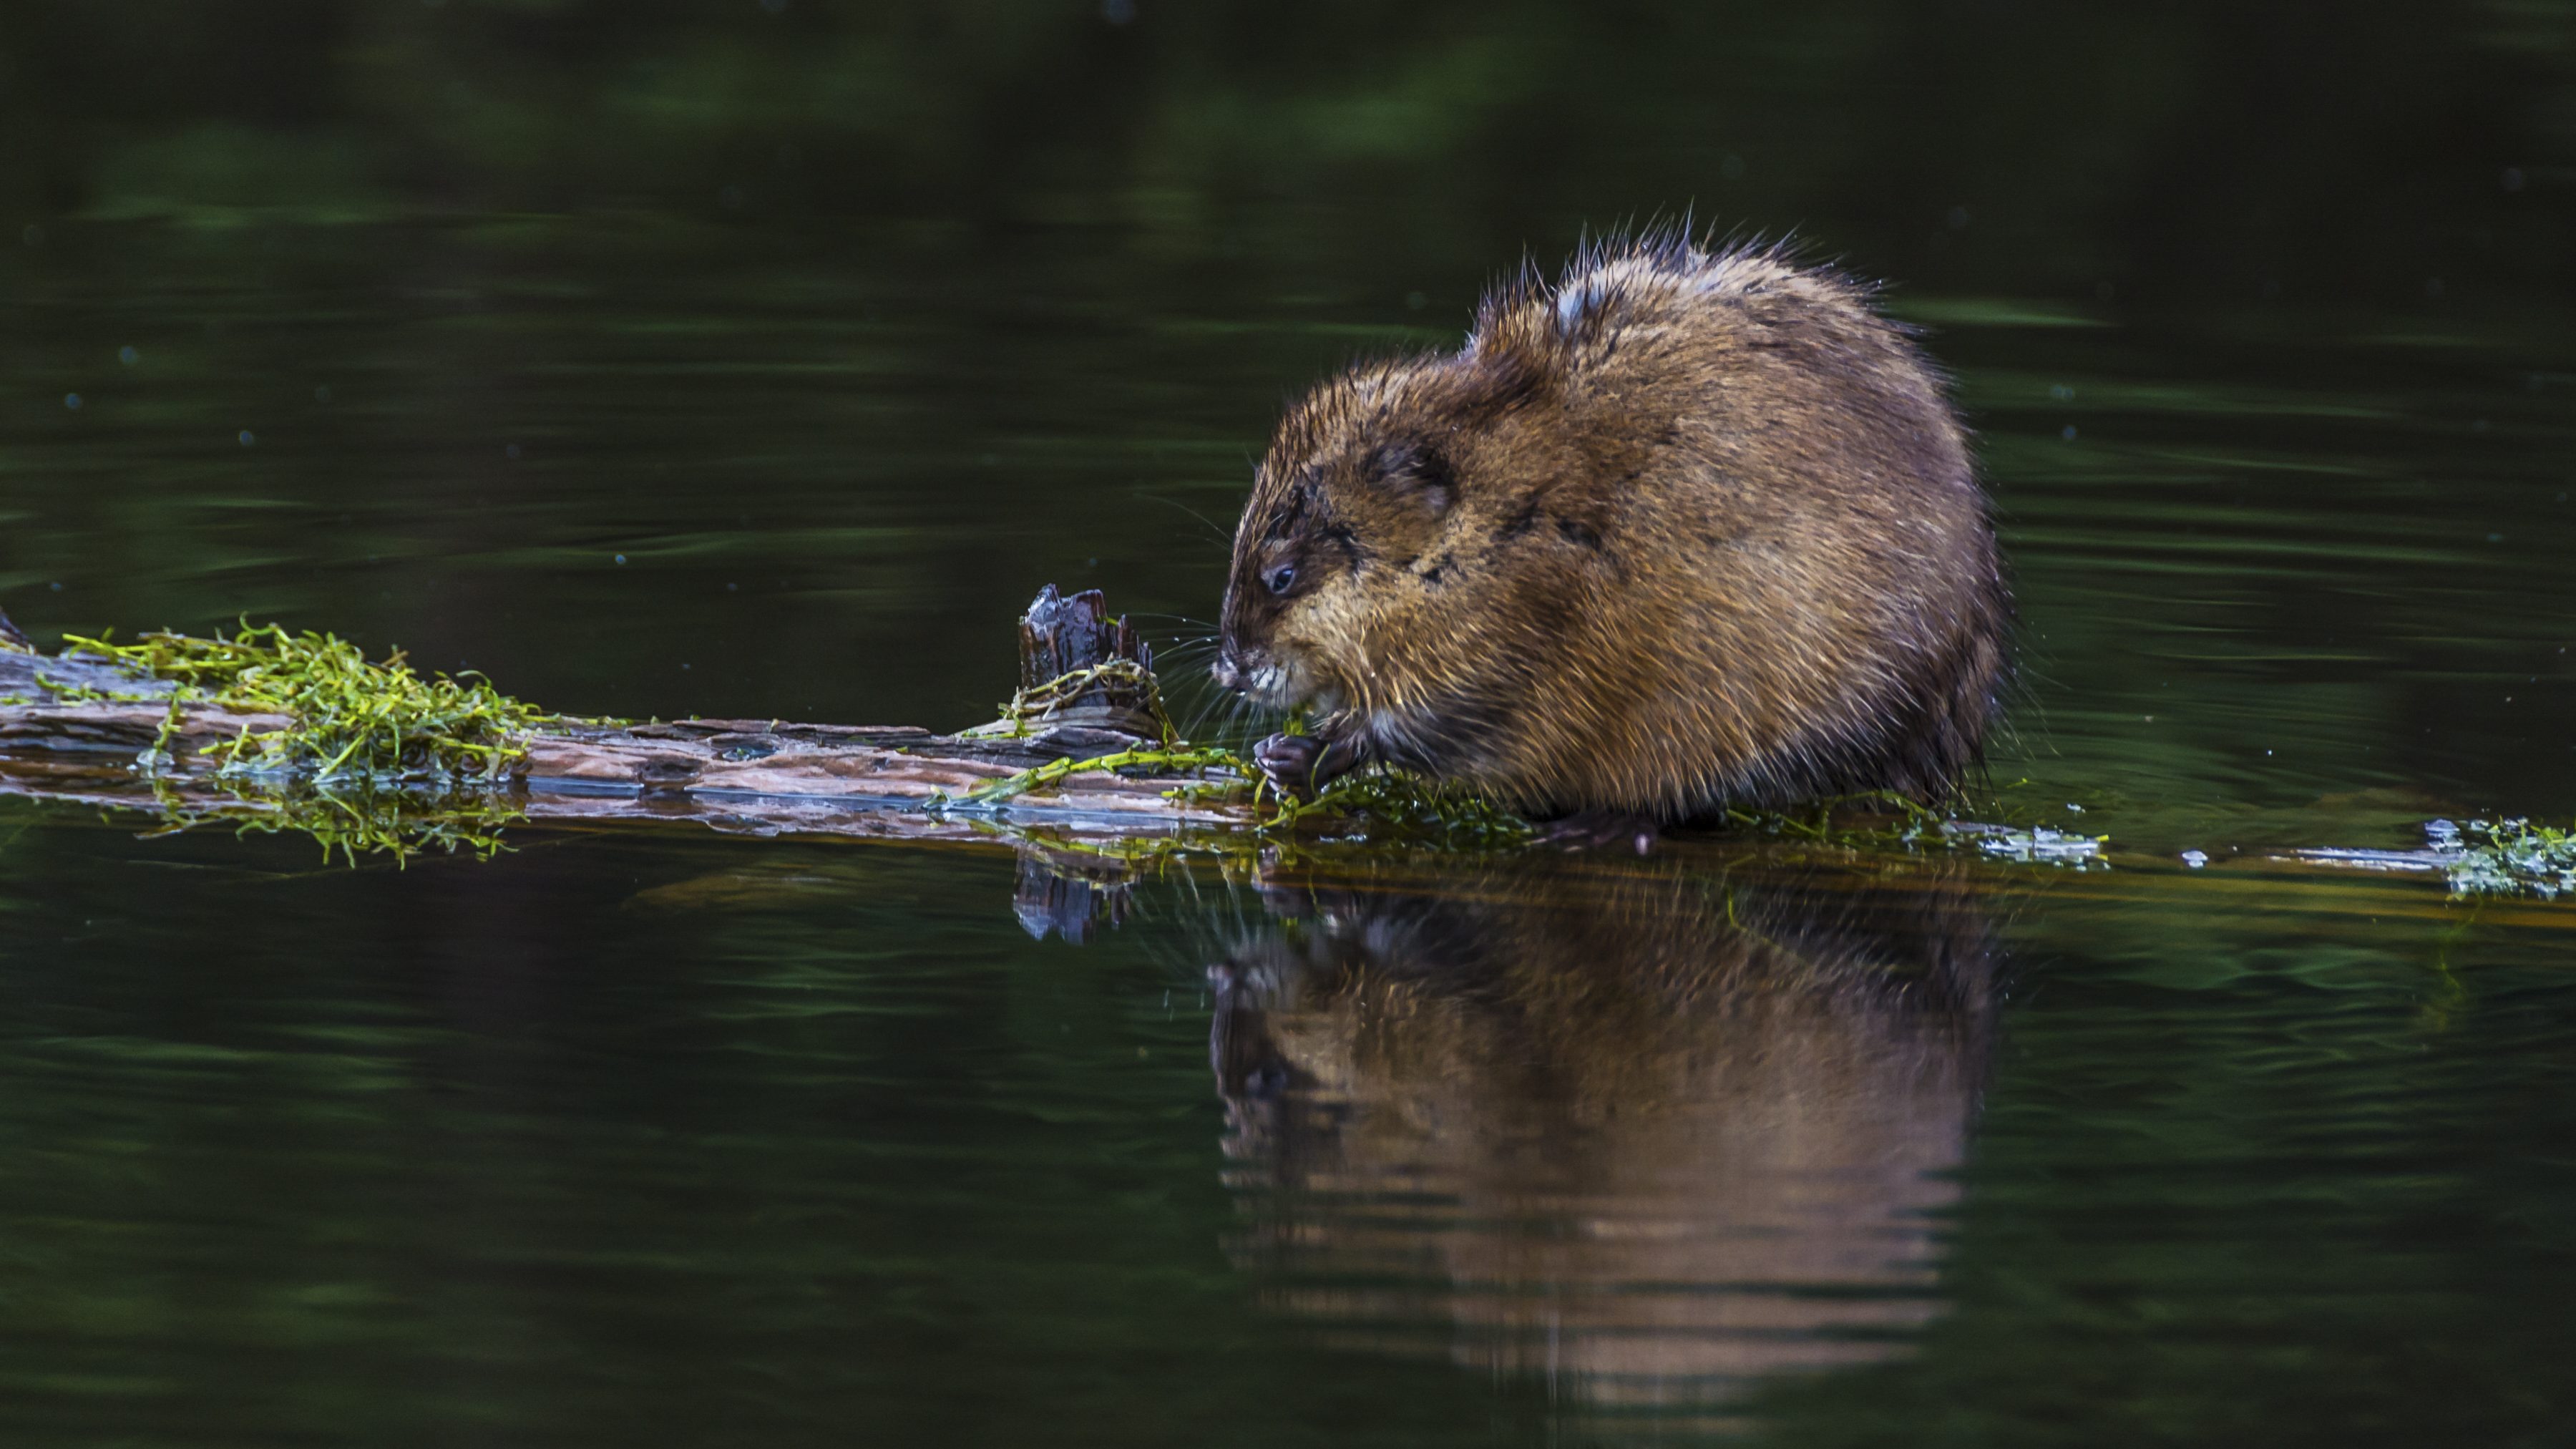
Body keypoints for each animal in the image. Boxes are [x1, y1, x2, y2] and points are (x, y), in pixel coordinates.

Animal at [1210, 234, 2006, 846]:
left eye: (1281, 575)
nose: (1230, 668)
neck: (1511, 506)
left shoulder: (1532, 607)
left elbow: (1459, 712)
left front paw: (1305, 749)